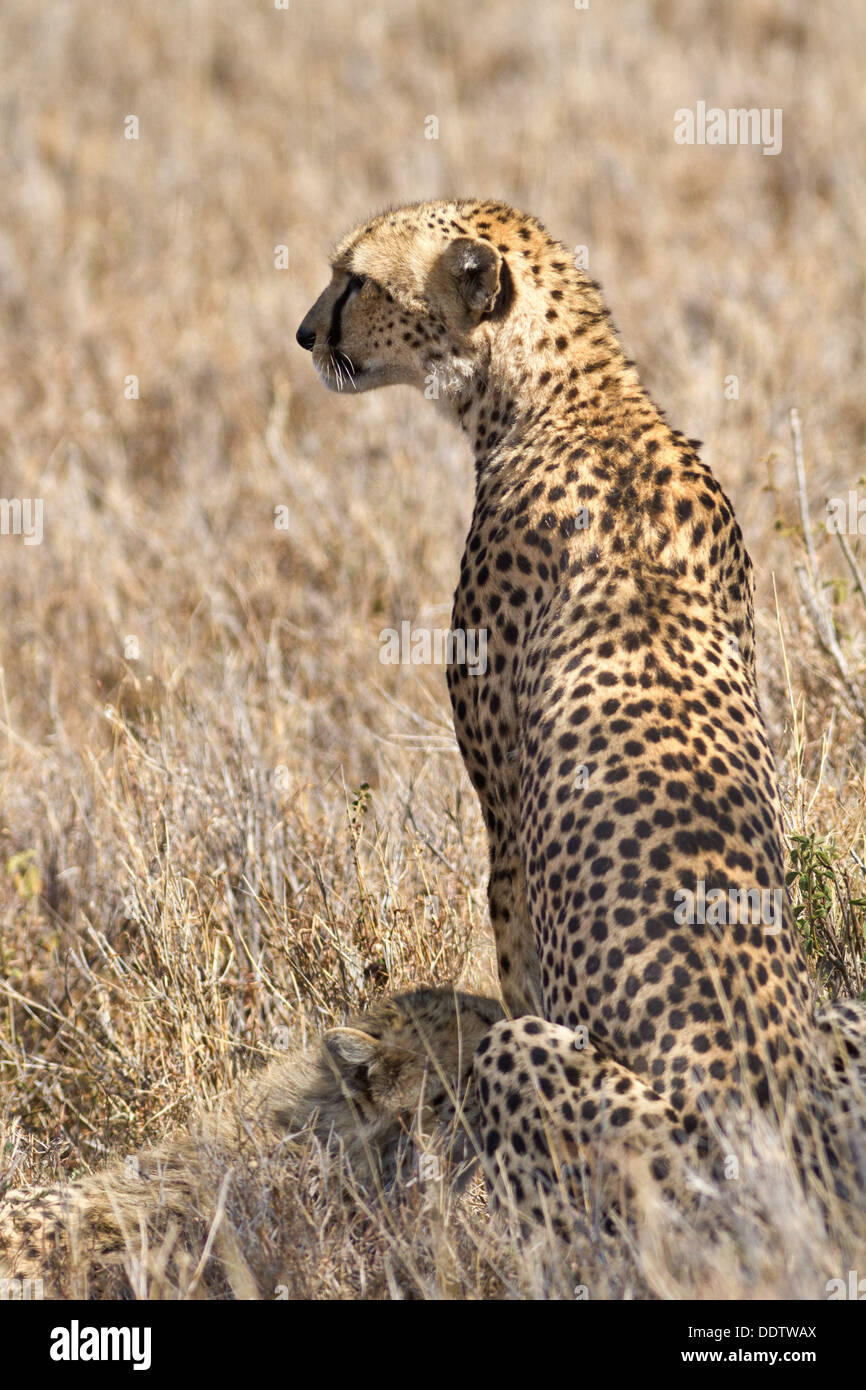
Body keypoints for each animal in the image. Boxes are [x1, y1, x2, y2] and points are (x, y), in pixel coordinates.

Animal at [296, 198, 866, 1233]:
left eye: (352, 279)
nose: (305, 333)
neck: (577, 396)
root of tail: (790, 1140)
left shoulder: (504, 821)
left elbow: (509, 948)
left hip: (579, 1106)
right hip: (843, 1017)